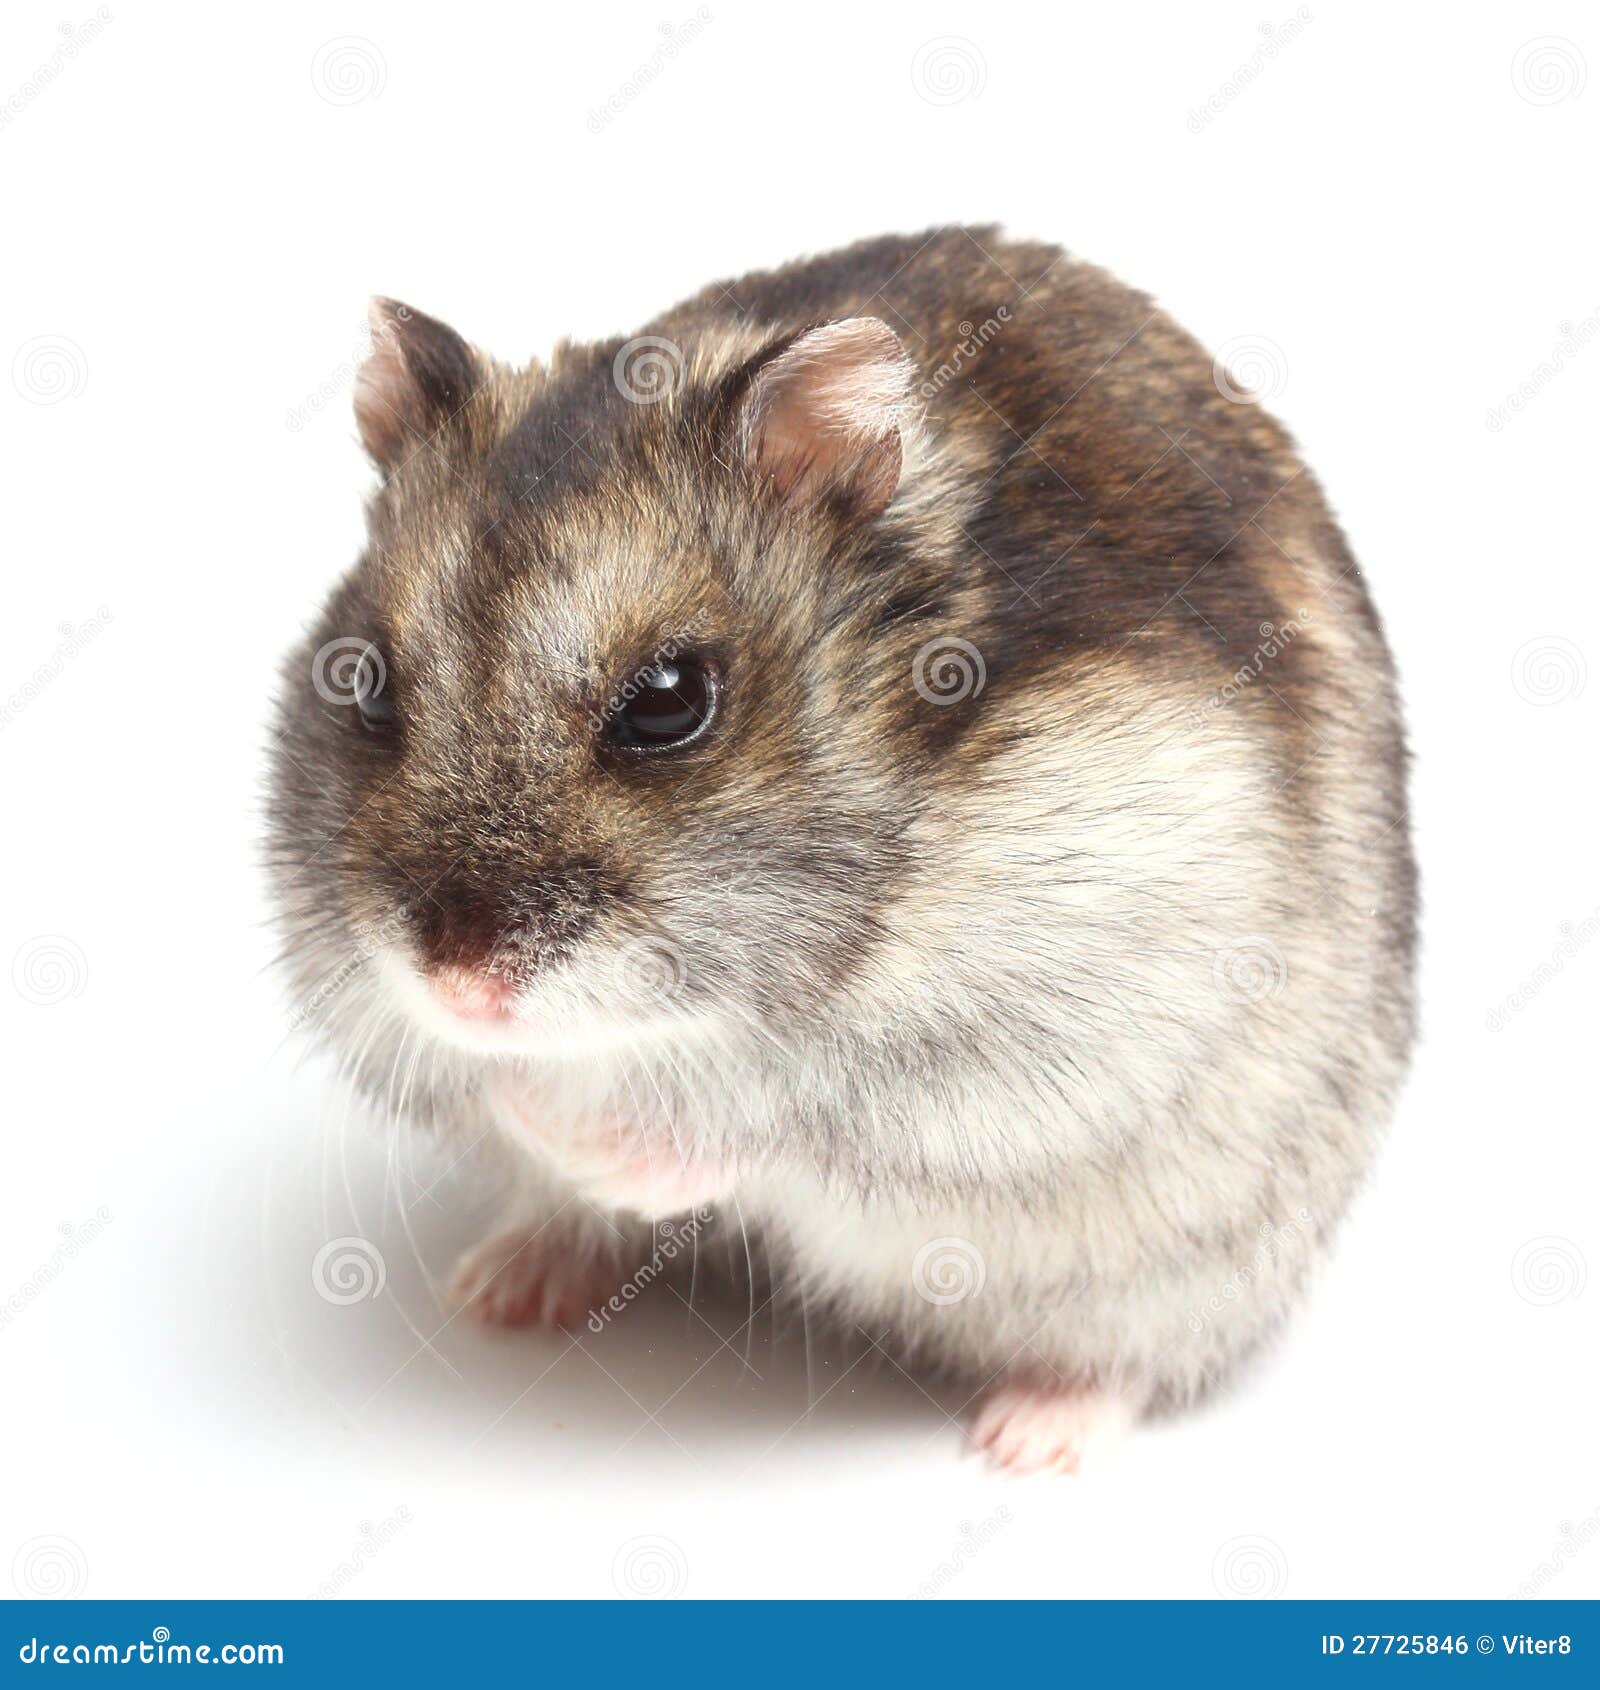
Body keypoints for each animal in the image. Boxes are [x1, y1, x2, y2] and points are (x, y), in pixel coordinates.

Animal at [268, 227, 1416, 1473]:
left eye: (668, 701)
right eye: (368, 688)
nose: (461, 990)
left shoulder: (1037, 1031)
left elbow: (783, 1121)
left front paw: (573, 1128)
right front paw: (517, 1105)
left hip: (1192, 1261)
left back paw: (1029, 1436)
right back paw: (504, 1286)